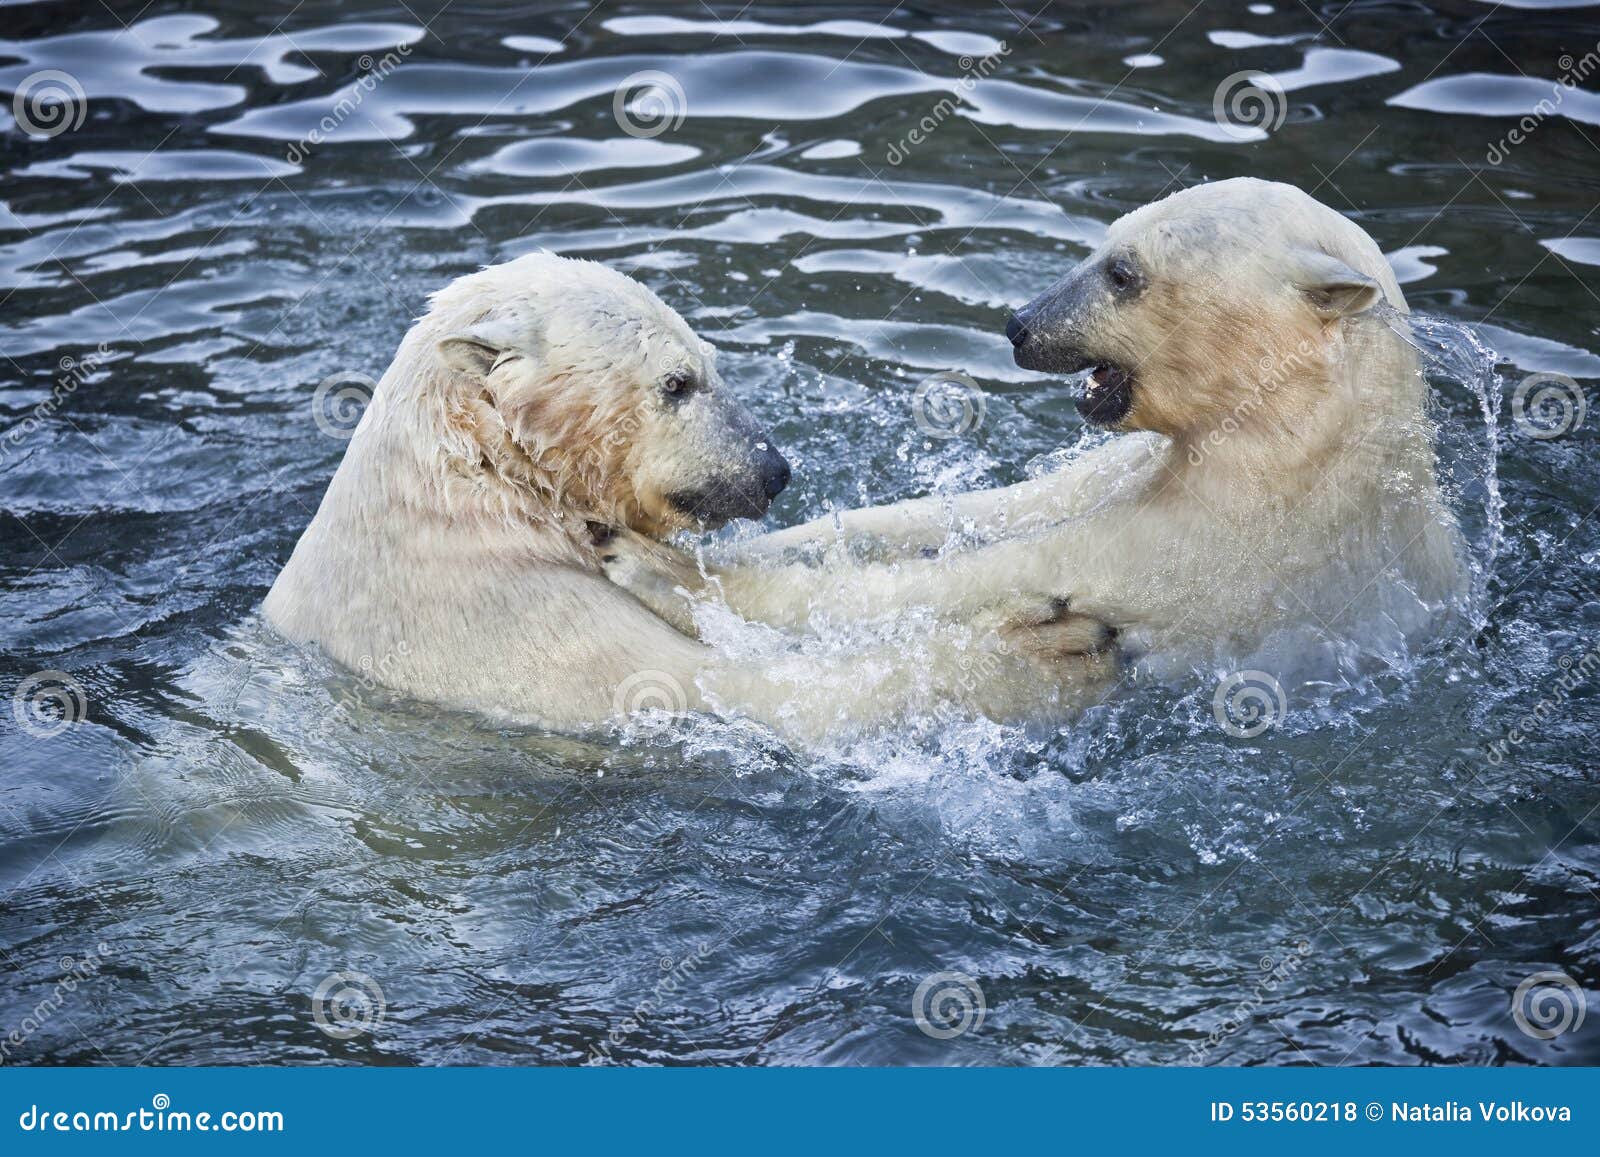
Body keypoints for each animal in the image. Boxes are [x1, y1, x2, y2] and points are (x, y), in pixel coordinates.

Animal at [263, 253, 1110, 744]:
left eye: (710, 361)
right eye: (677, 382)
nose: (774, 469)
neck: (471, 492)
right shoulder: (512, 631)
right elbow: (734, 690)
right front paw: (1043, 650)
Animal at [602, 178, 1468, 684]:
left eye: (1122, 272)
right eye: (1103, 242)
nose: (1019, 325)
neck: (1298, 460)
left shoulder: (1207, 555)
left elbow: (966, 582)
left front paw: (653, 566)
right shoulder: (1130, 472)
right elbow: (974, 514)